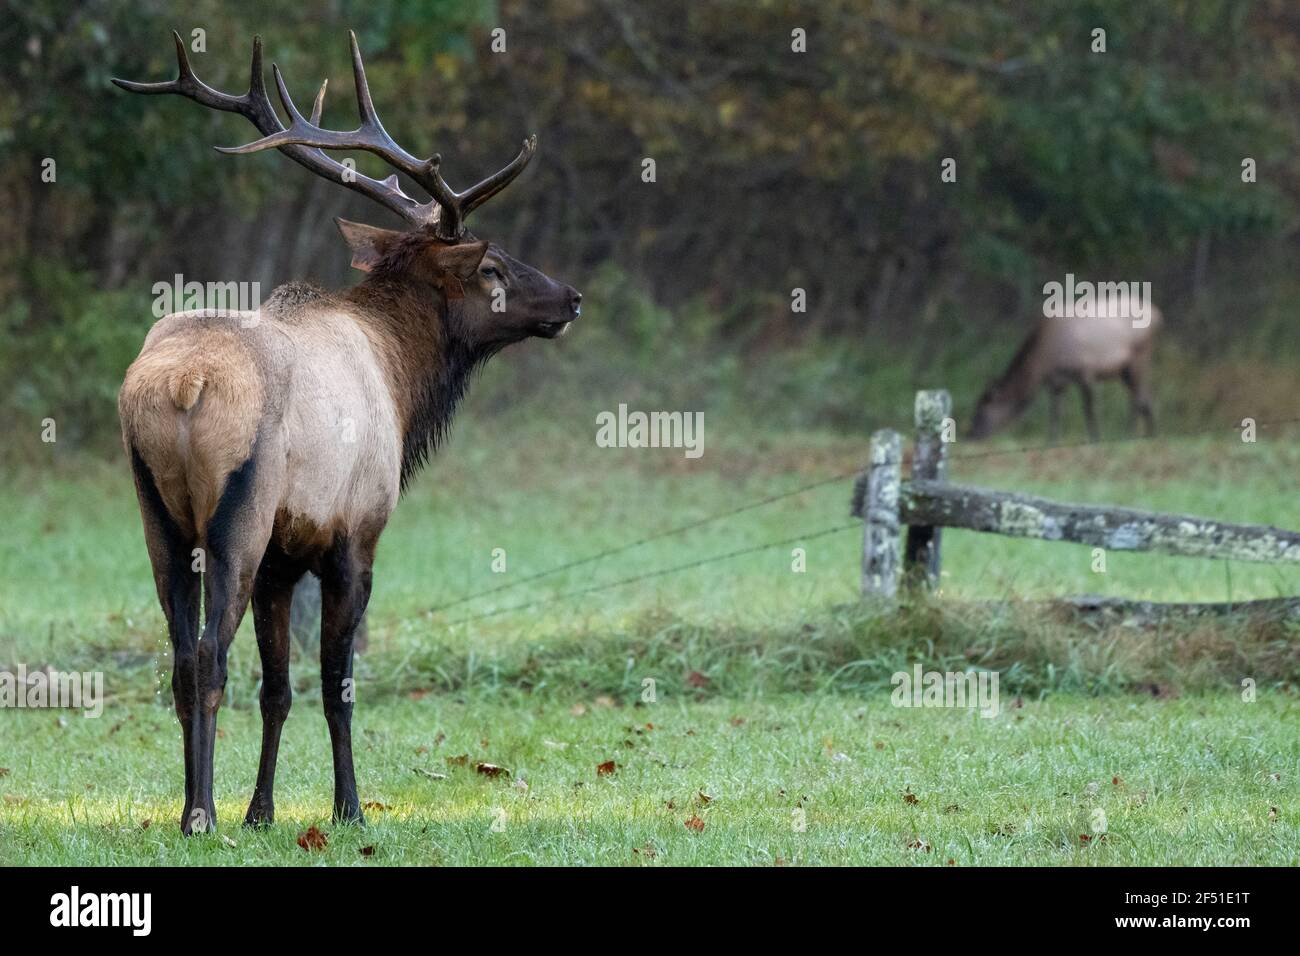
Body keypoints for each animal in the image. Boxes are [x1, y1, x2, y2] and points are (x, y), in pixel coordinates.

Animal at [113, 33, 581, 834]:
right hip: (238, 515)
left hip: (158, 517)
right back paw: (200, 813)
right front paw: (350, 808)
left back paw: (195, 809)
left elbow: (277, 690)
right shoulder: (353, 535)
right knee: (207, 655)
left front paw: (262, 812)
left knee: (178, 655)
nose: (571, 297)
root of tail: (181, 387)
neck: (401, 381)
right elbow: (338, 684)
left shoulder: (282, 559)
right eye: (491, 265)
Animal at [968, 298, 1161, 443]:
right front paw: (1051, 442)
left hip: (1139, 358)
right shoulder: (1056, 383)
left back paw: (1131, 434)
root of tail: (1158, 315)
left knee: (1138, 398)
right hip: (1125, 370)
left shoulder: (1086, 372)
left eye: (981, 412)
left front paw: (1095, 439)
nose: (969, 435)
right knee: (1145, 395)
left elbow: (1089, 410)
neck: (1043, 362)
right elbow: (1055, 414)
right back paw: (1151, 433)